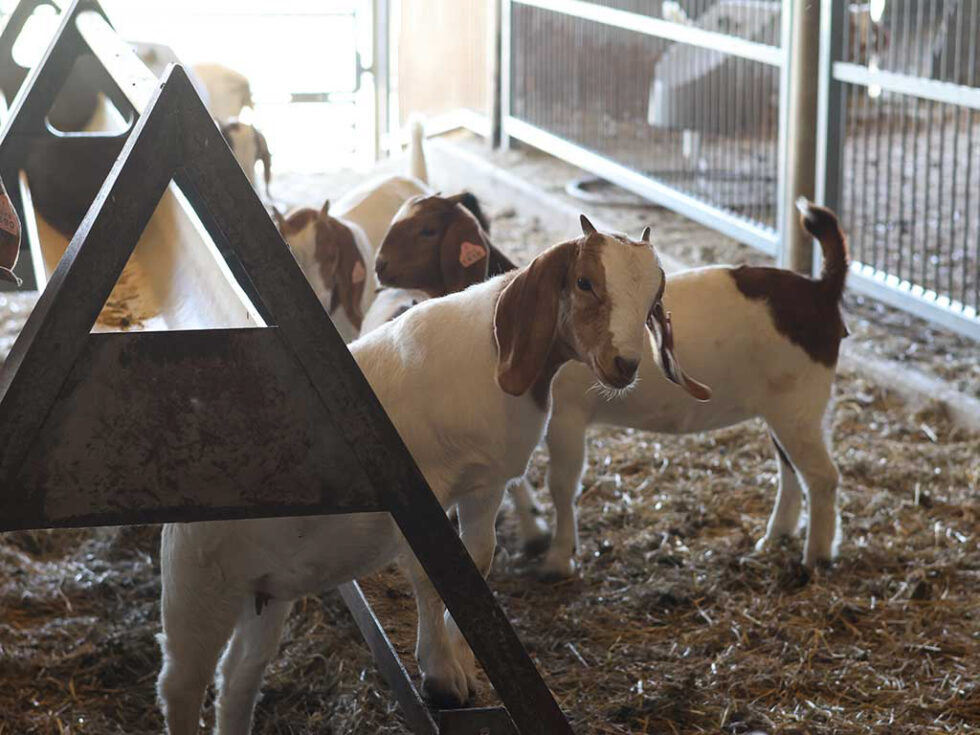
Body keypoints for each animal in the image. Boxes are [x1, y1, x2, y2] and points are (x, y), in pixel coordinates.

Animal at [156, 217, 702, 734]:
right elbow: (429, 572)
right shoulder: (422, 489)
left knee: (239, 676)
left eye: (654, 297)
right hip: (198, 582)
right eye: (585, 281)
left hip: (265, 593)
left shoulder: (484, 484)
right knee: (181, 682)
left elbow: (473, 564)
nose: (623, 364)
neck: (487, 360)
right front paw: (441, 676)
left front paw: (463, 658)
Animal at [376, 198, 849, 575]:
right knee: (790, 468)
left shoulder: (565, 416)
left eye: (427, 230)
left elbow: (561, 484)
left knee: (822, 477)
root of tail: (821, 291)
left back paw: (816, 556)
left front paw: (558, 558)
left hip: (799, 402)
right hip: (783, 406)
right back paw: (777, 534)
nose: (379, 266)